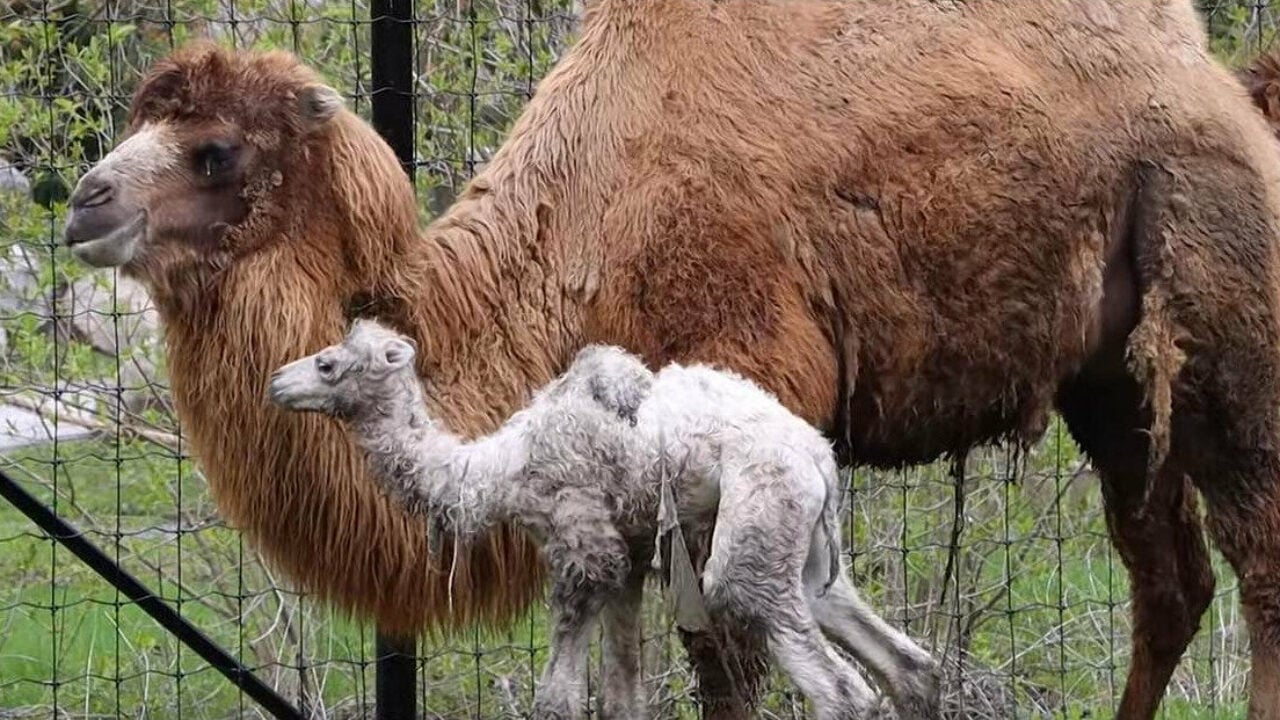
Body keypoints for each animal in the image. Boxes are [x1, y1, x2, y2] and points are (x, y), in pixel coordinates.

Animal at [268, 319, 941, 719]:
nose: (277, 381)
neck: (493, 471)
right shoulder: (633, 557)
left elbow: (558, 698)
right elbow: (623, 696)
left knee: (844, 692)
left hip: (754, 537)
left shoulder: (583, 550)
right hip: (804, 551)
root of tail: (820, 460)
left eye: (328, 363)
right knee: (908, 665)